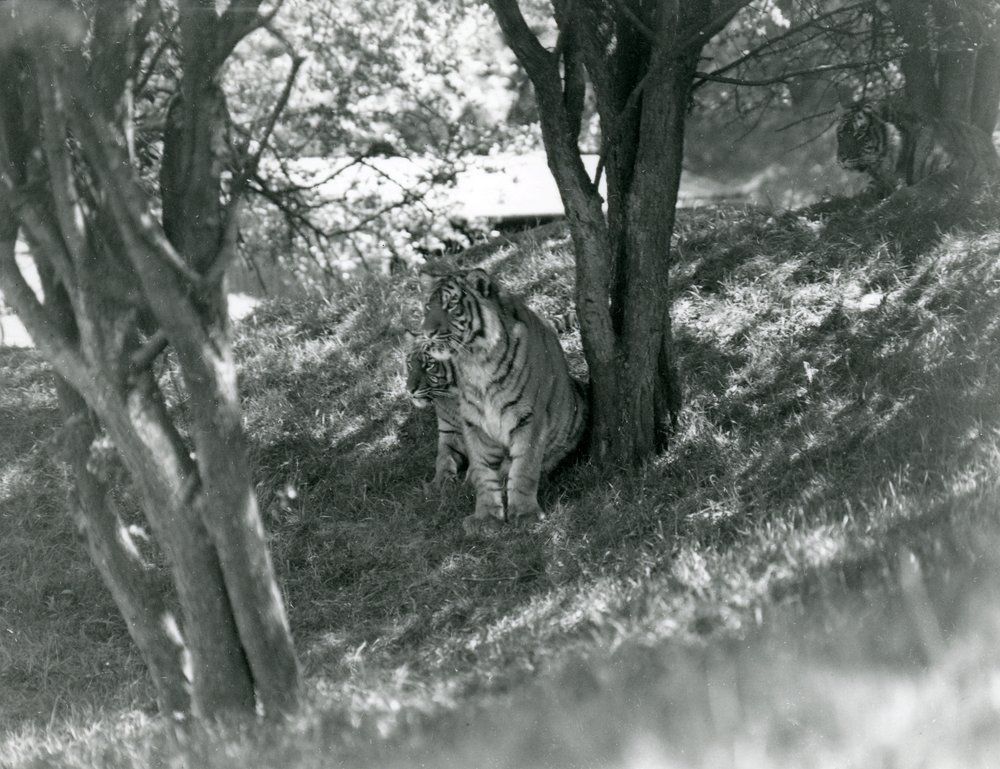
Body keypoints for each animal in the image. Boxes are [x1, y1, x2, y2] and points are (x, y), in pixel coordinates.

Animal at [419, 268, 588, 533]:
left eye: (451, 305)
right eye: (428, 307)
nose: (426, 333)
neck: (475, 361)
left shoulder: (529, 418)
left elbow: (524, 468)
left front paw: (525, 515)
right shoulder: (474, 424)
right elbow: (483, 472)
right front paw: (485, 518)